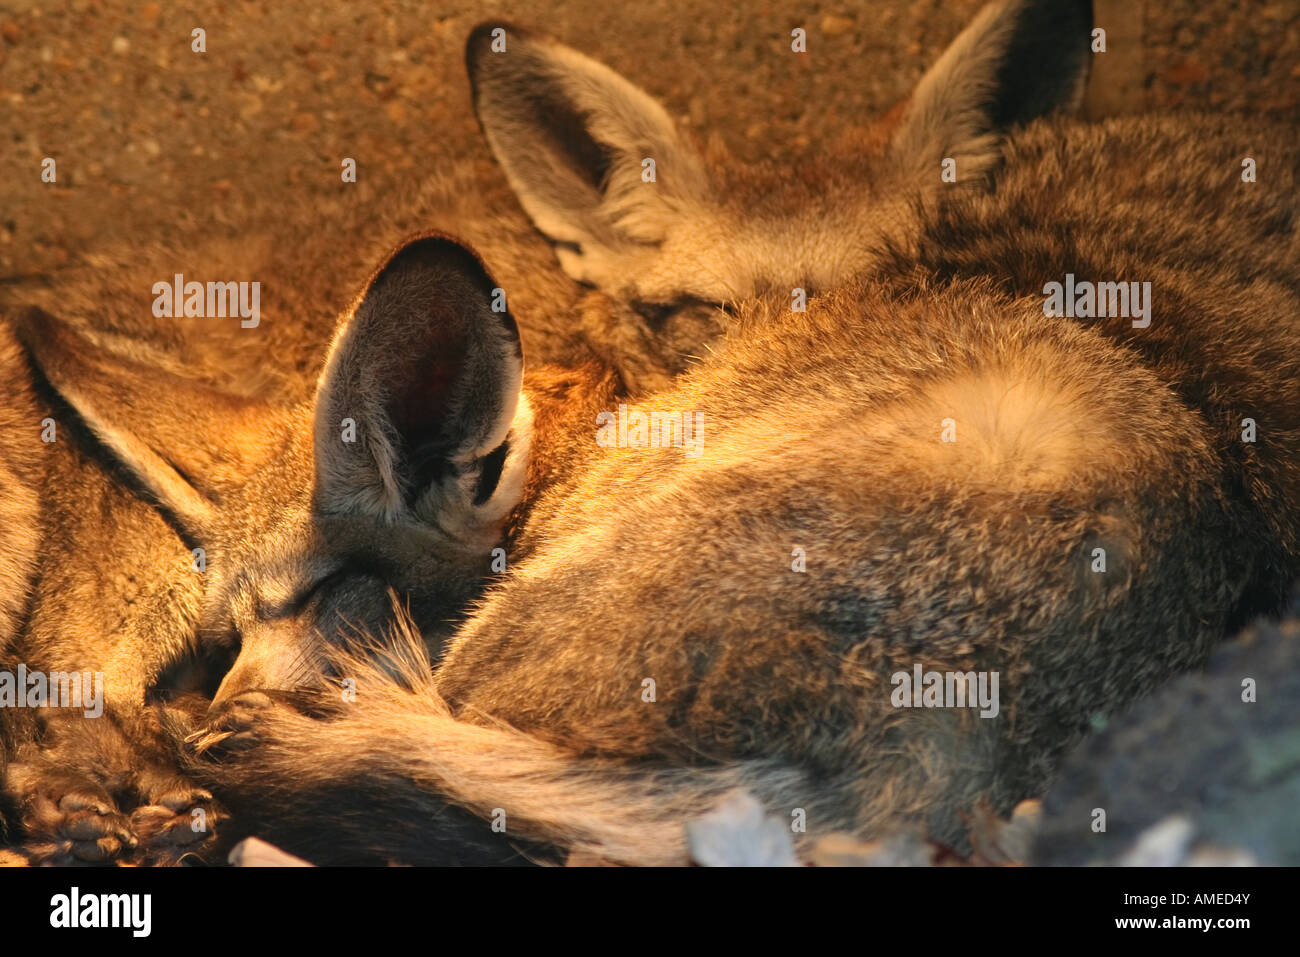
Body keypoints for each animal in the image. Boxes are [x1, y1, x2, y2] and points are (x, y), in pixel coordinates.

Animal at [169, 0, 1299, 865]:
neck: (588, 429)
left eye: (309, 598)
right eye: (226, 631)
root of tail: (945, 751)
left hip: (527, 627)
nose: (196, 725)